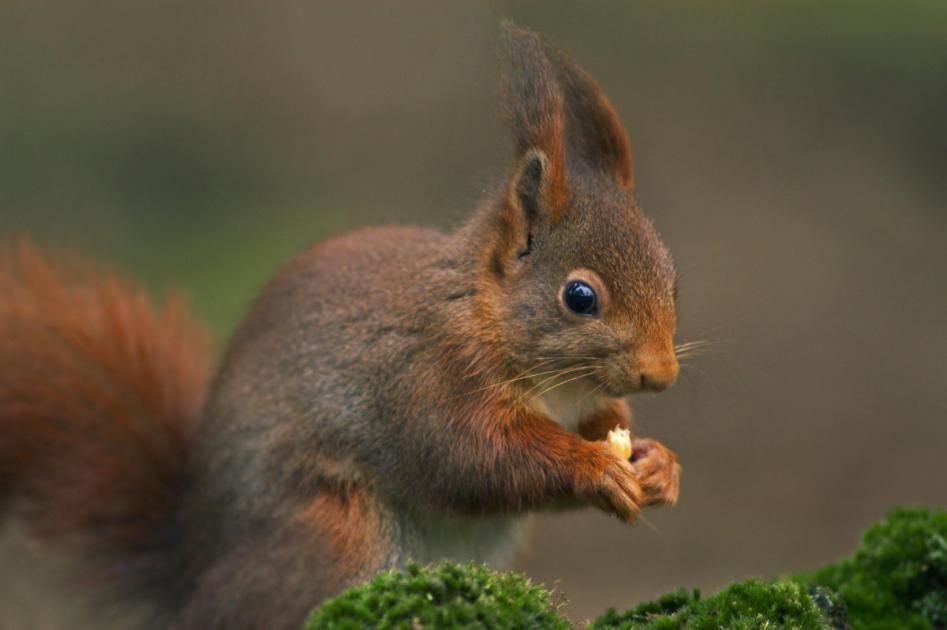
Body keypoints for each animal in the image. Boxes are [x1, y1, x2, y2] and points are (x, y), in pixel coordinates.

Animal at [0, 23, 682, 630]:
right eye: (579, 296)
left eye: (672, 277)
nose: (662, 374)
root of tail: (195, 576)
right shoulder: (430, 378)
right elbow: (475, 457)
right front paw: (595, 468)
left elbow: (604, 424)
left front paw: (657, 464)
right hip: (335, 531)